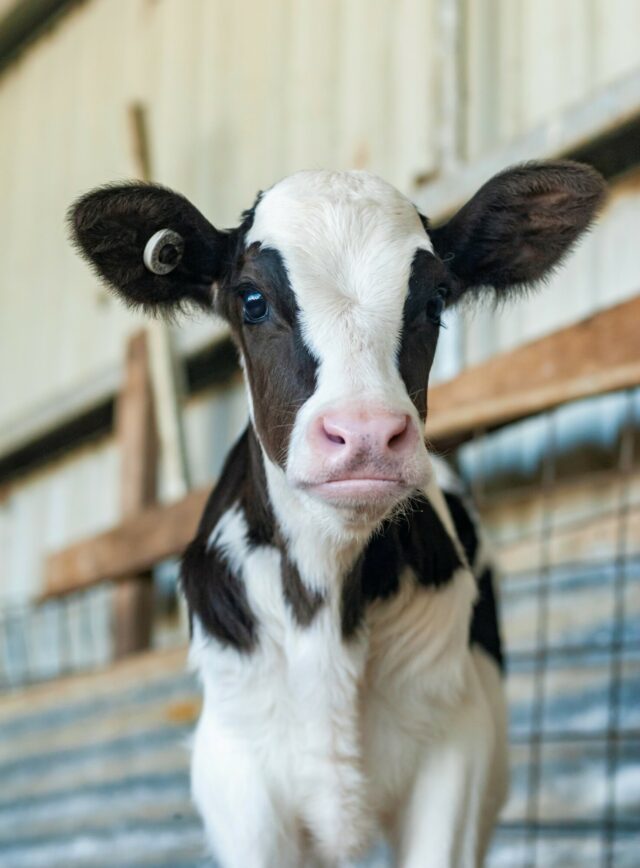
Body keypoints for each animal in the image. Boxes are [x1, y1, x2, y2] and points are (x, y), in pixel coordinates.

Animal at [70, 162, 604, 867]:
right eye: (251, 299)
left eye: (435, 302)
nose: (368, 433)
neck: (325, 604)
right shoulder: (237, 777)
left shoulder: (456, 754)